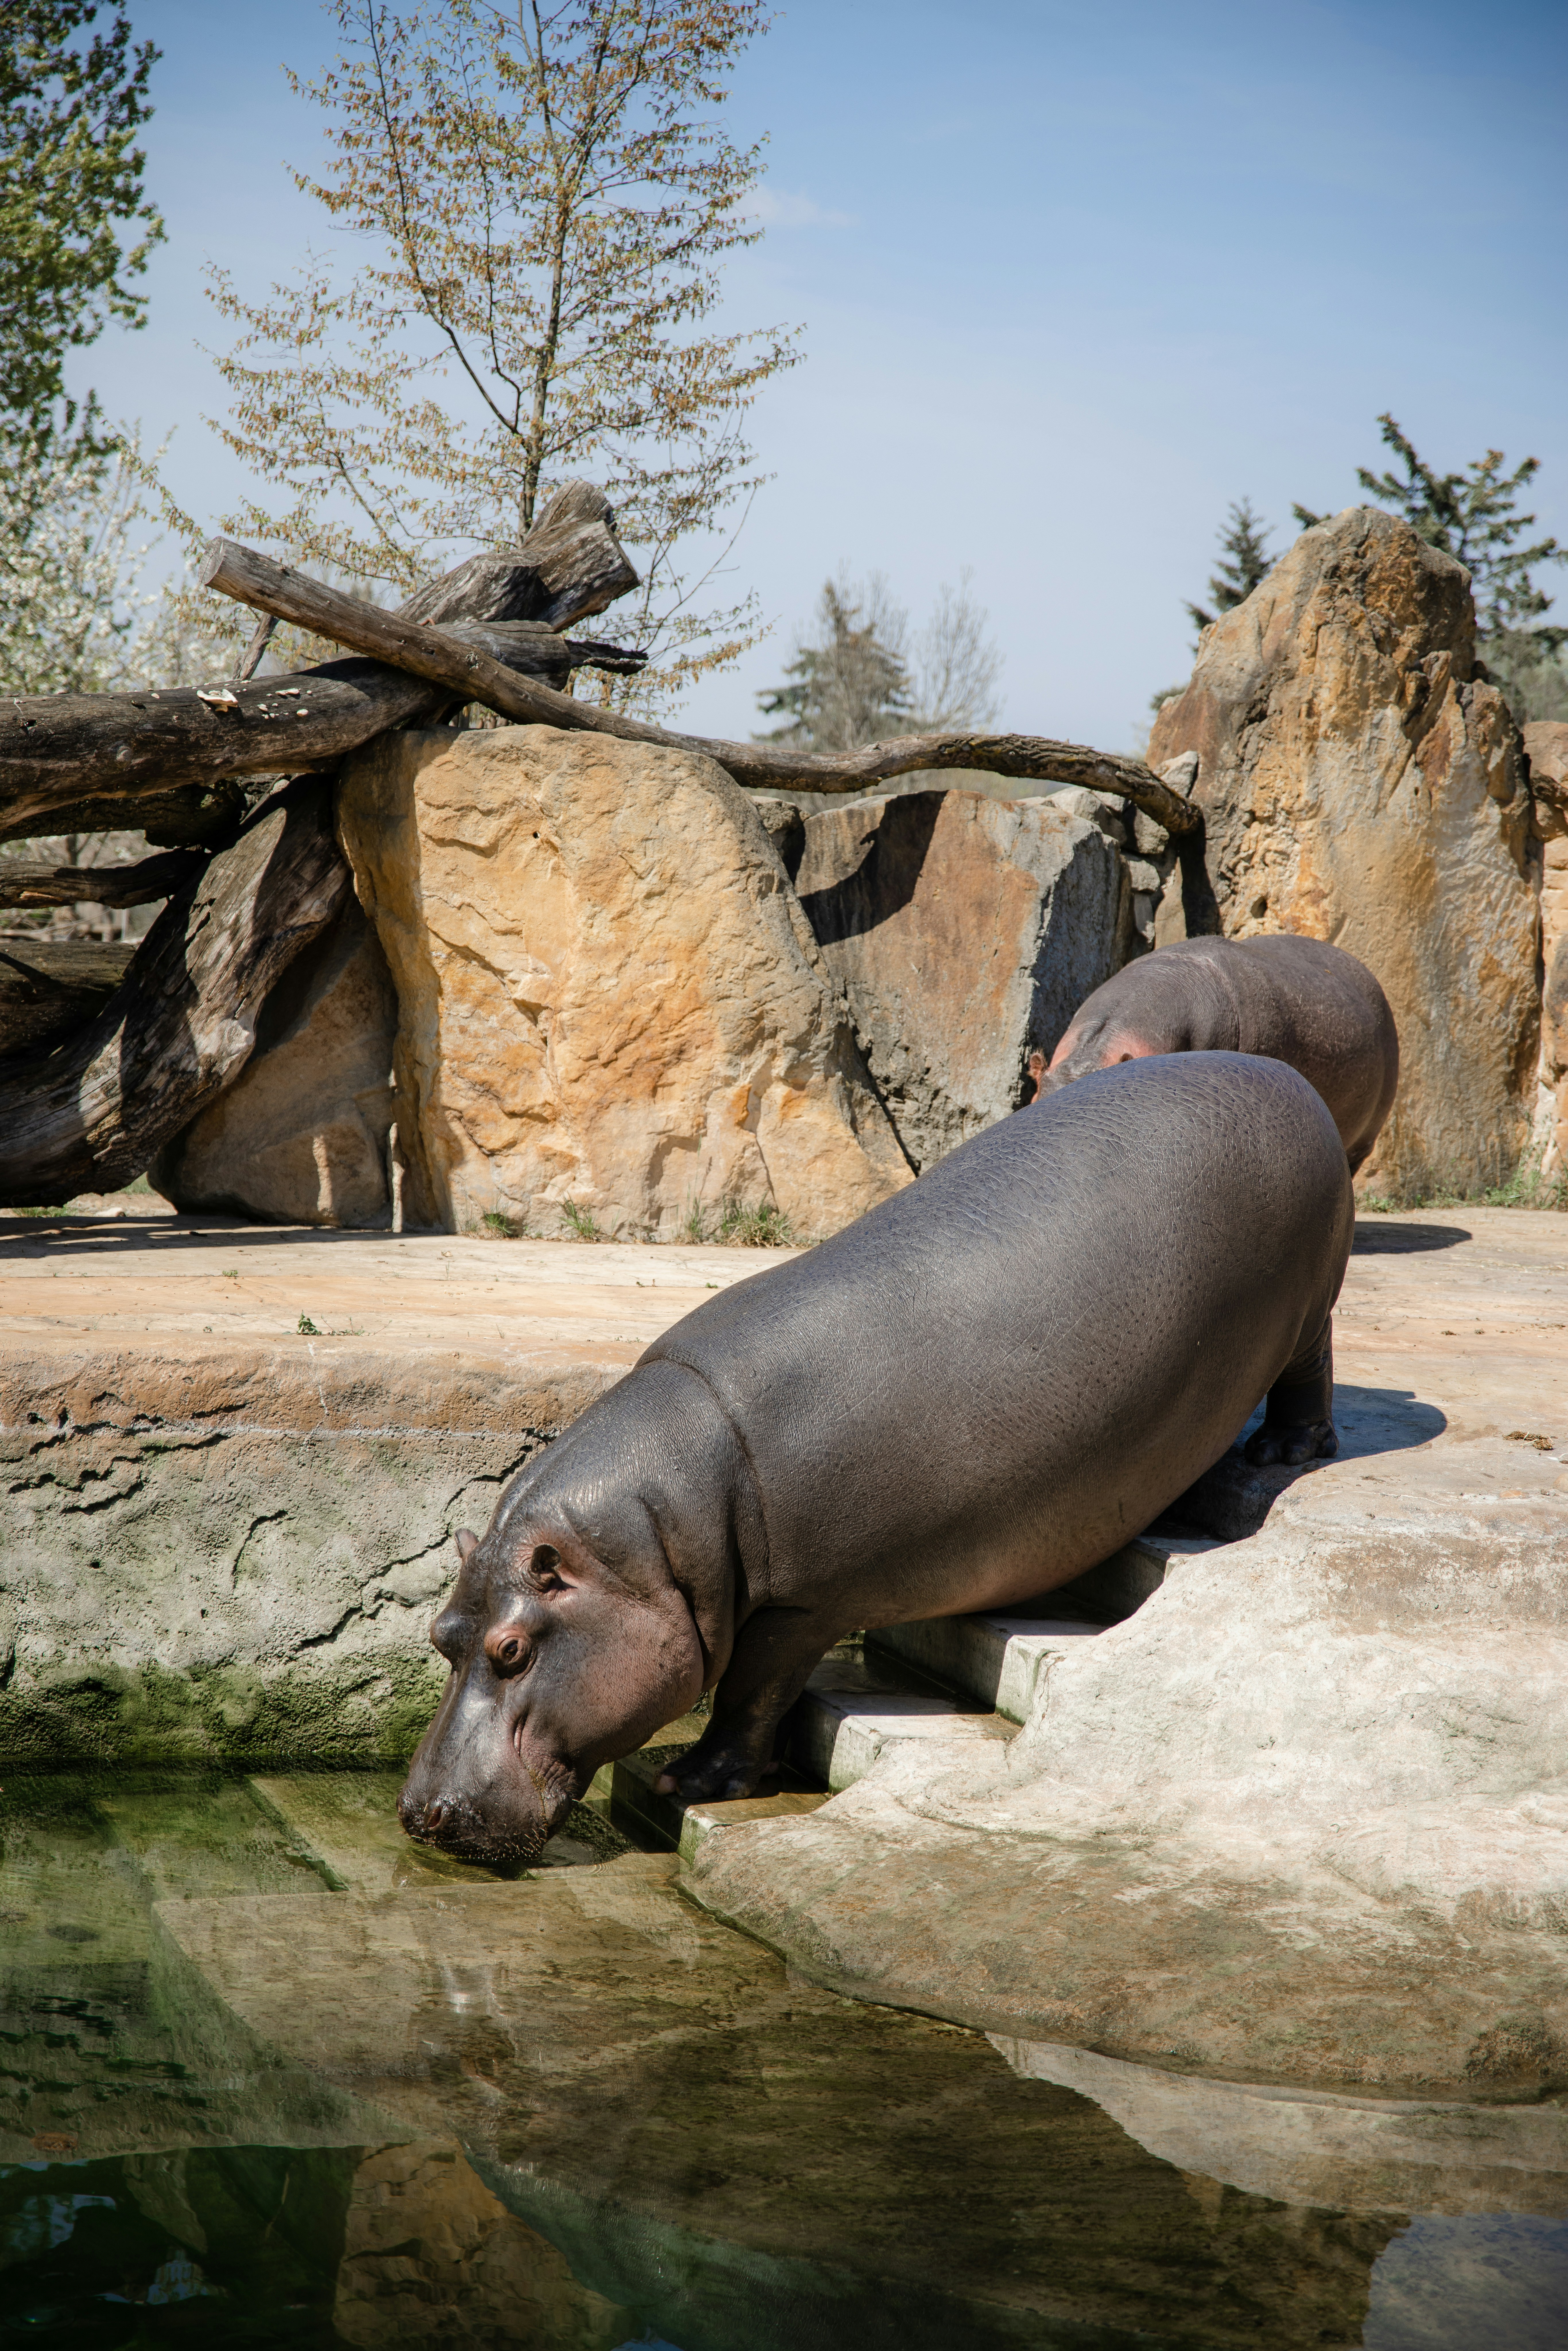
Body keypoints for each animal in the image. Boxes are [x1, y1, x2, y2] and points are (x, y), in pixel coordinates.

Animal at [399, 1053, 1352, 1868]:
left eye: (513, 1651)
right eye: (443, 1634)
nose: (417, 1814)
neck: (672, 1521)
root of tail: (1280, 1073)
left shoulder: (802, 1603)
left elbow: (751, 1689)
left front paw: (693, 1781)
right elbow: (773, 1696)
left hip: (1315, 1301)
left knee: (1311, 1372)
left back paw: (1283, 1447)